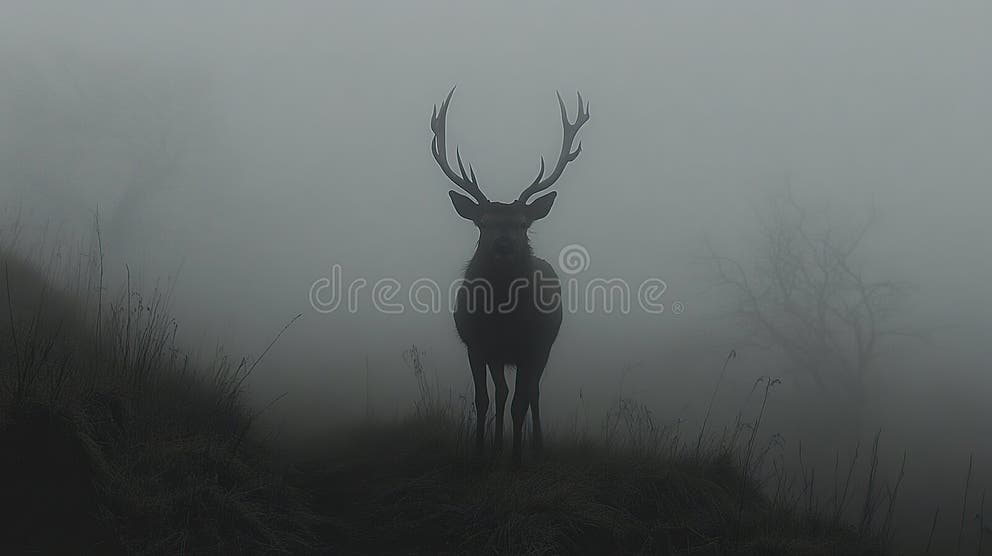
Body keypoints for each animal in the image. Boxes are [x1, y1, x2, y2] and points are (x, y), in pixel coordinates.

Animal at [429, 88, 589, 465]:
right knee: (502, 392)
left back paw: (534, 446)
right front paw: (479, 452)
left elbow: (521, 402)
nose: (503, 245)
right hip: (499, 356)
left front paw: (517, 459)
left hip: (543, 348)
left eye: (523, 223)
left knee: (532, 393)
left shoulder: (532, 346)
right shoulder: (477, 345)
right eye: (482, 223)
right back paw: (499, 445)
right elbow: (484, 400)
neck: (502, 316)